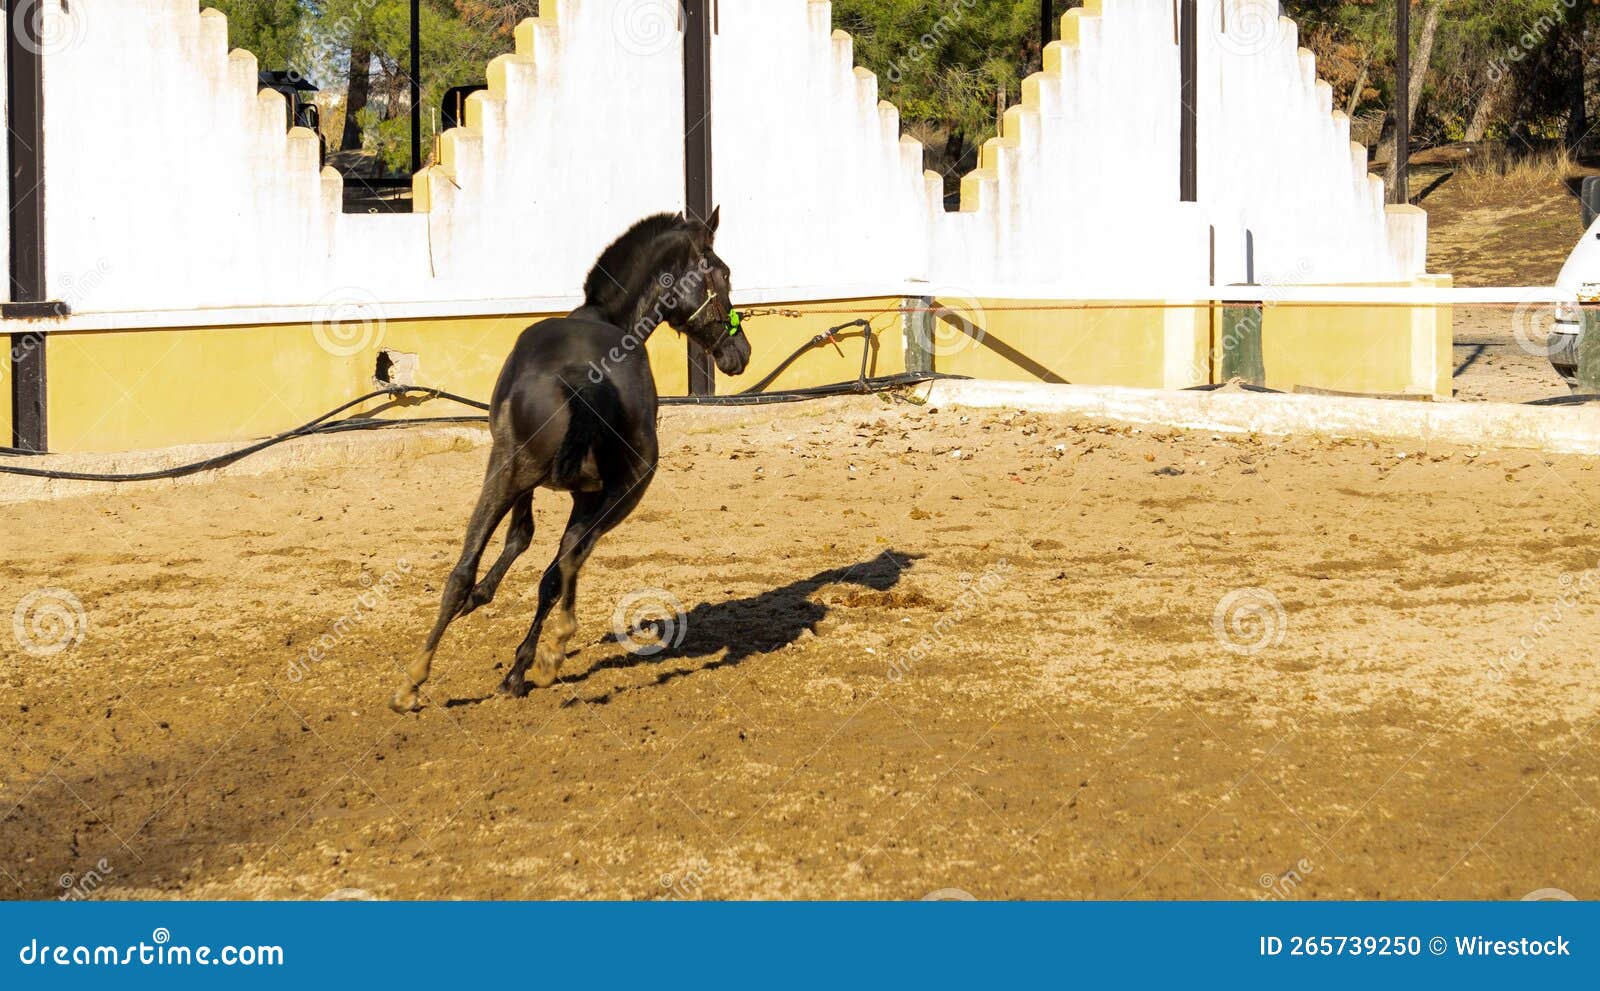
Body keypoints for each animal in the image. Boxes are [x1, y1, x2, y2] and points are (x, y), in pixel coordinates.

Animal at [391, 209, 750, 713]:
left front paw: (501, 626)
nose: (740, 353)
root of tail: (584, 376)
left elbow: (525, 544)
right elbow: (532, 546)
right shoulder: (566, 490)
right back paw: (535, 654)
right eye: (724, 273)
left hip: (517, 473)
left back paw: (429, 678)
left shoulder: (541, 484)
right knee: (554, 562)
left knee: (481, 569)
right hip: (613, 491)